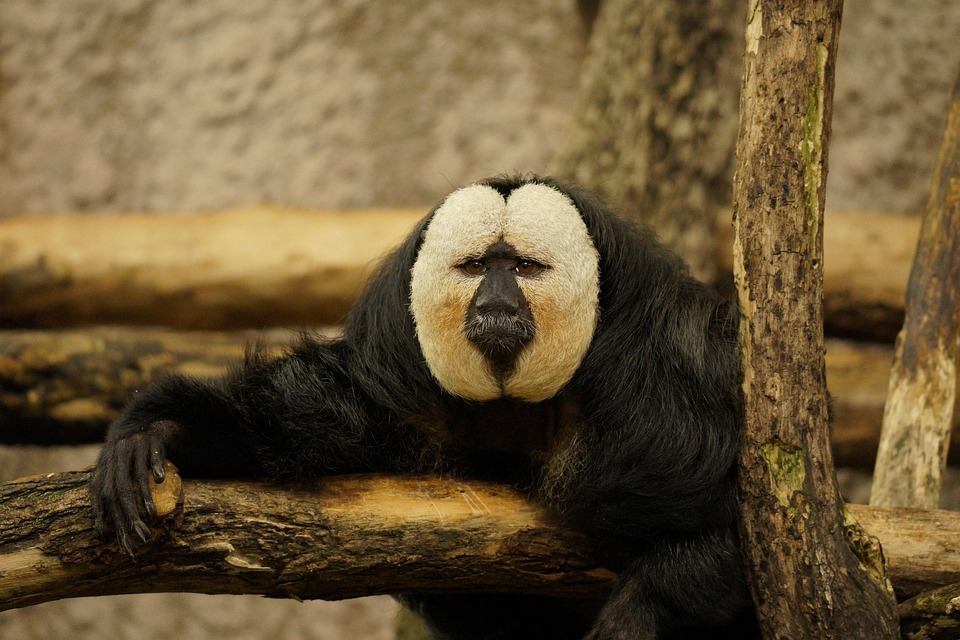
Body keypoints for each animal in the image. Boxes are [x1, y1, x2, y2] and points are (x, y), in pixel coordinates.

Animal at [90, 175, 750, 639]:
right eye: (478, 266)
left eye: (525, 268)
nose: (496, 305)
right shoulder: (399, 380)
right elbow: (310, 426)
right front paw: (166, 428)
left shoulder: (664, 393)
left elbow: (741, 526)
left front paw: (644, 606)